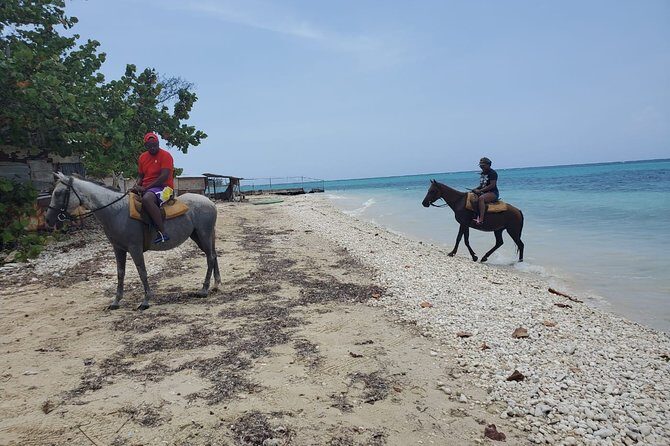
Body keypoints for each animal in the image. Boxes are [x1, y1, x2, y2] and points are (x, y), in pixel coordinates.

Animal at [45, 172, 221, 310]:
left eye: (59, 193)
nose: (48, 219)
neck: (116, 211)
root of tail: (210, 203)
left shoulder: (135, 248)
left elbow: (142, 272)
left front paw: (146, 300)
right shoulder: (118, 249)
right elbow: (120, 273)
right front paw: (116, 301)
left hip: (203, 235)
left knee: (210, 258)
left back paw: (204, 290)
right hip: (199, 236)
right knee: (213, 255)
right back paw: (216, 284)